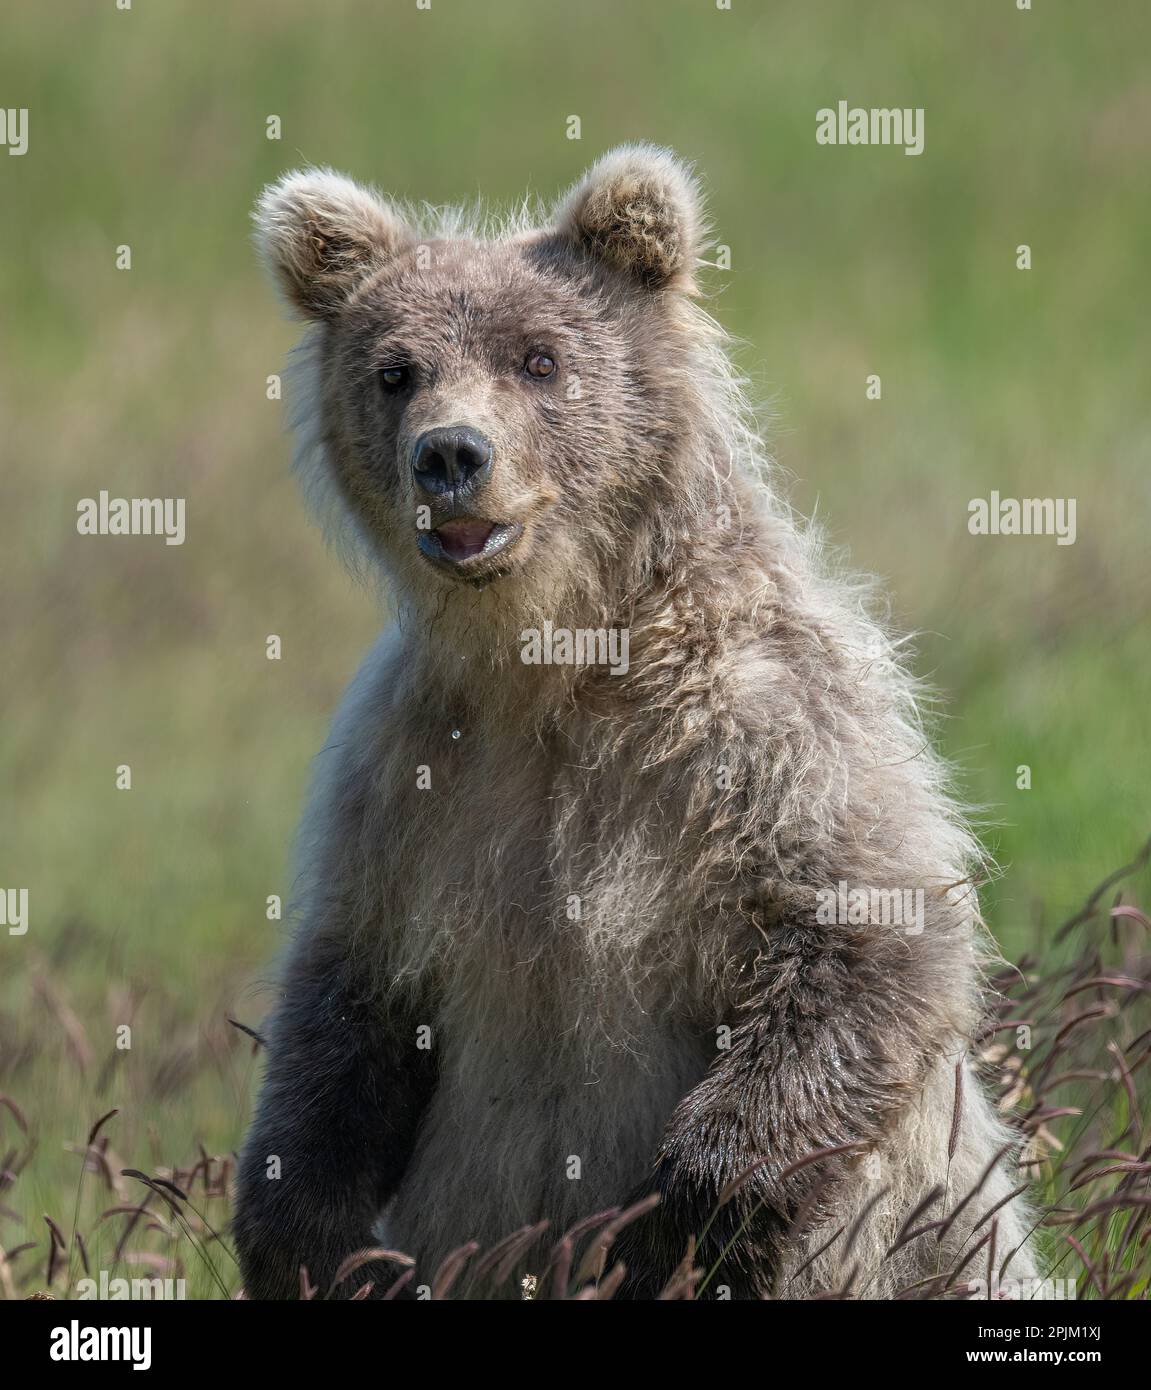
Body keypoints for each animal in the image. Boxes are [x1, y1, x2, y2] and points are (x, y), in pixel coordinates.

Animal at [233, 145, 1037, 1300]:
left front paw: (695, 1203)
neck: (551, 659)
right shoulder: (406, 777)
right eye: (394, 370)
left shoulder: (763, 731)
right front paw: (303, 1234)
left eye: (538, 359)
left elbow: (866, 925)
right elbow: (351, 996)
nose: (450, 455)